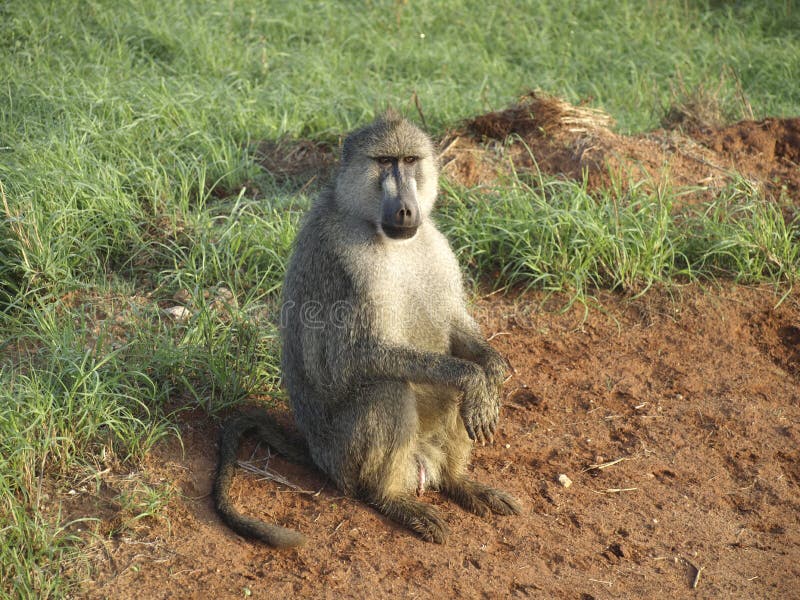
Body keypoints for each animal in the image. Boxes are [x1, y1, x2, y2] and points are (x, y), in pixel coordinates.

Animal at [214, 111, 520, 547]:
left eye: (410, 160)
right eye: (384, 162)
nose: (406, 210)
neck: (370, 223)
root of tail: (317, 453)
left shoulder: (435, 246)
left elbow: (456, 328)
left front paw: (492, 370)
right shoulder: (346, 261)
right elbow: (358, 355)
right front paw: (474, 378)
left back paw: (459, 482)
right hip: (344, 457)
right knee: (386, 387)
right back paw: (391, 498)